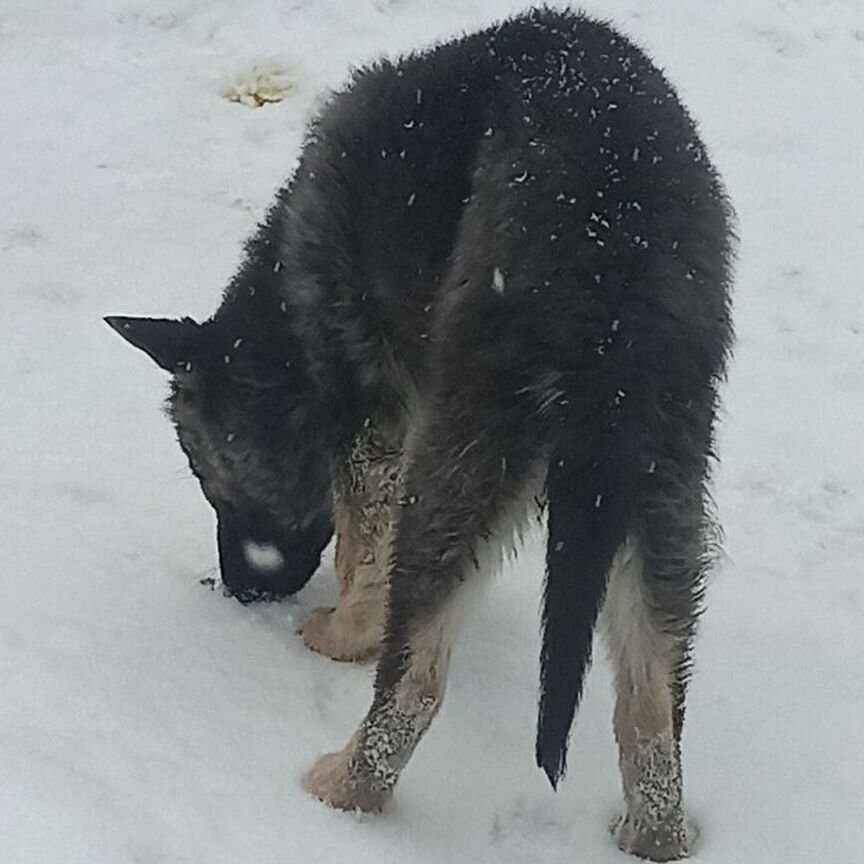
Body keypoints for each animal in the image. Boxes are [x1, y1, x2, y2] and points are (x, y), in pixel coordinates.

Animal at [104, 10, 732, 860]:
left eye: (207, 476)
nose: (239, 590)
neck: (286, 312)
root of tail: (616, 273)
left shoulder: (377, 411)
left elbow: (359, 549)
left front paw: (344, 630)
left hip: (460, 462)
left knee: (417, 682)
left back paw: (340, 792)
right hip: (664, 484)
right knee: (650, 712)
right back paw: (653, 833)